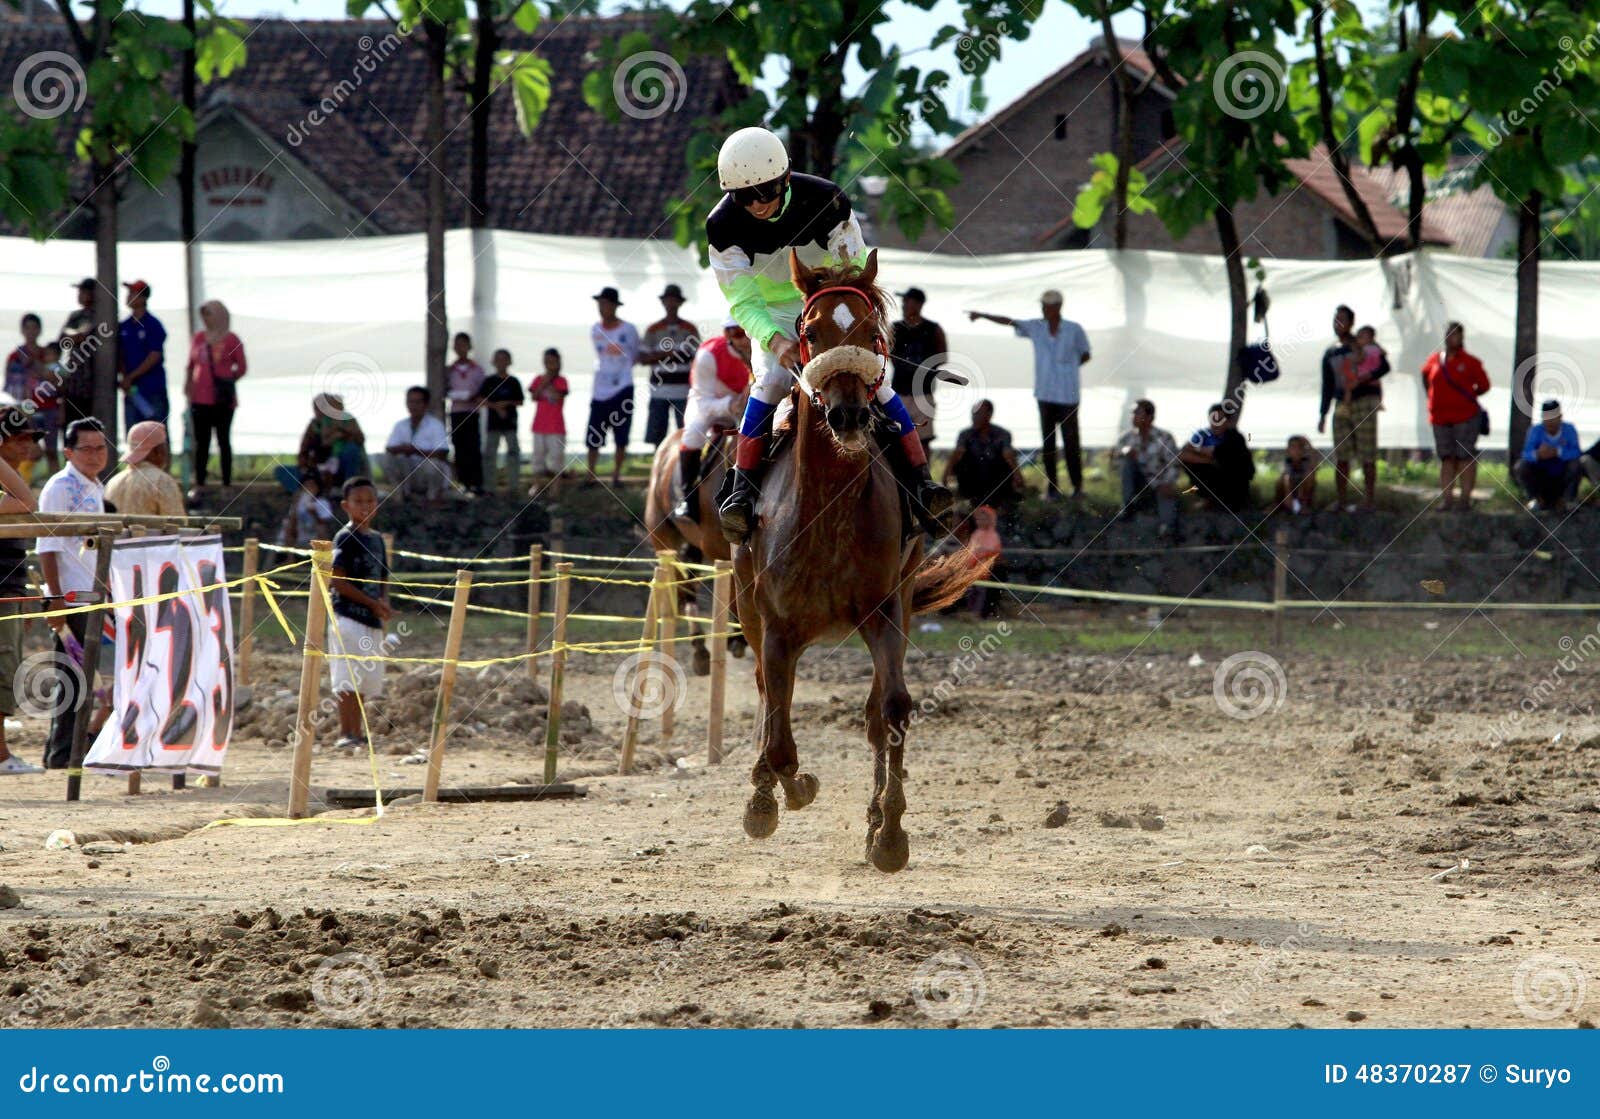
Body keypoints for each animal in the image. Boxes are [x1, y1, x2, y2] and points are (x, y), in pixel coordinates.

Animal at [734, 247, 991, 873]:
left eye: (874, 331)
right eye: (809, 332)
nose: (850, 416)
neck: (828, 507)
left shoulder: (883, 614)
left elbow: (891, 711)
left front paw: (890, 831)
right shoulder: (776, 626)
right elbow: (779, 734)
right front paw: (787, 790)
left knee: (874, 711)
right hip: (748, 608)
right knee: (767, 696)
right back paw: (763, 797)